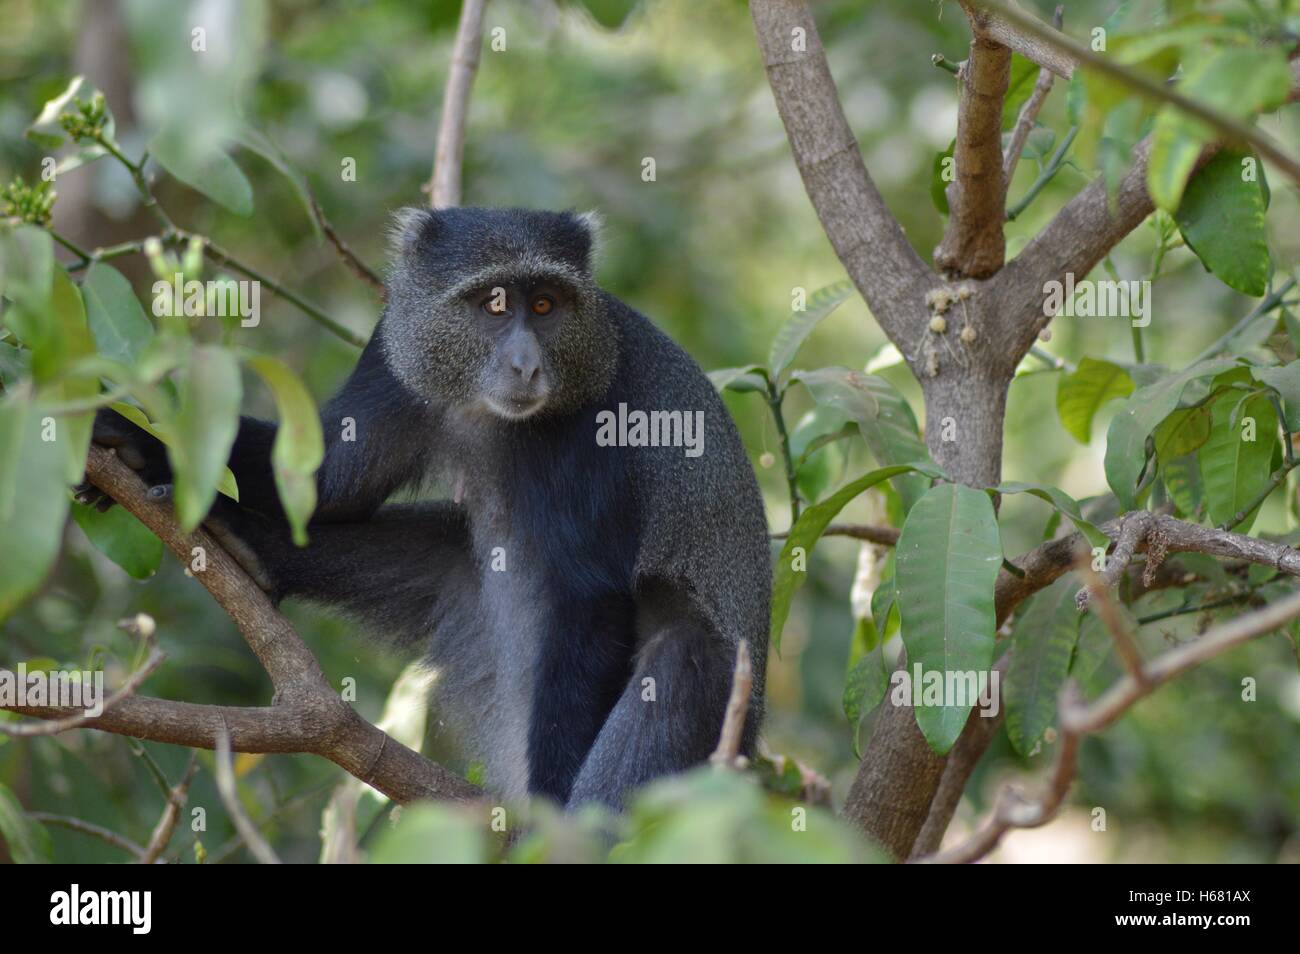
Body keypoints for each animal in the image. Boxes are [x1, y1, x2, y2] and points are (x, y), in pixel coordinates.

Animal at [85, 207, 771, 810]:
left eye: (545, 305)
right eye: (494, 303)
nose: (526, 363)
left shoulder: (602, 428)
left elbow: (590, 597)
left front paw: (551, 812)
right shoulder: (395, 353)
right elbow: (330, 479)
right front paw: (139, 444)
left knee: (682, 642)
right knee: (444, 551)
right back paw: (251, 546)